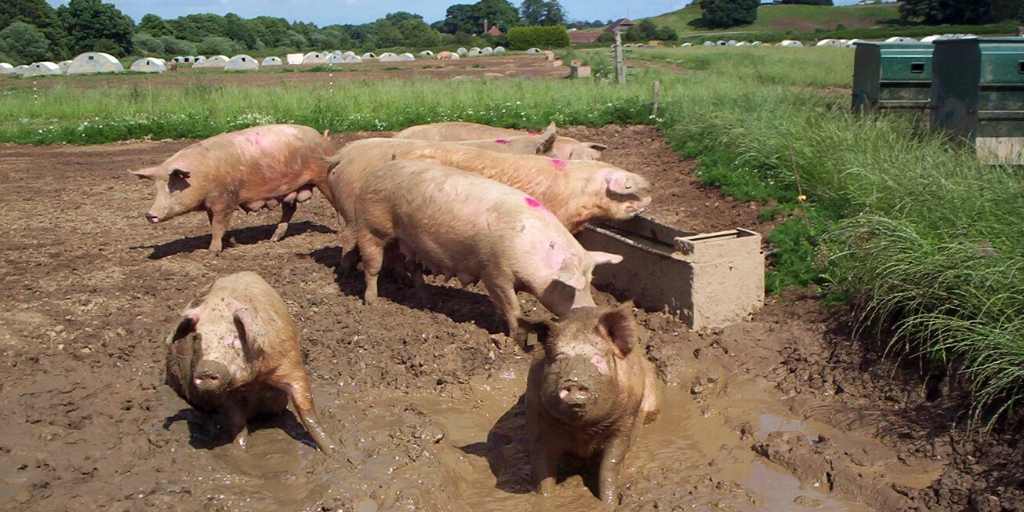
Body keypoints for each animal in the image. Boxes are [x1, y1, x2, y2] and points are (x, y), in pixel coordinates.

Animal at [130, 124, 335, 253]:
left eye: (172, 187)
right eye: (157, 187)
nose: (149, 215)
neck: (202, 175)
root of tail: (322, 137)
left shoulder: (225, 200)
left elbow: (218, 225)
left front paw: (212, 251)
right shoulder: (211, 205)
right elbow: (214, 224)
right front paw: (228, 243)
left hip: (323, 178)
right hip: (289, 189)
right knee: (290, 209)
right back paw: (273, 239)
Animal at [164, 271, 336, 453]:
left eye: (234, 337)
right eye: (198, 339)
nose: (207, 370)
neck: (256, 380)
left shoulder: (290, 361)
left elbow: (306, 407)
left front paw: (332, 451)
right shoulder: (227, 392)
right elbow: (236, 419)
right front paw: (240, 450)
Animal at [353, 160, 623, 338]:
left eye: (591, 281)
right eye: (570, 287)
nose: (592, 311)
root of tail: (377, 171)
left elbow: (502, 305)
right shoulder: (494, 271)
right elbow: (512, 306)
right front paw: (514, 338)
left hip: (408, 240)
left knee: (411, 266)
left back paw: (425, 297)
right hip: (371, 226)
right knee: (372, 265)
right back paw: (371, 303)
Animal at [523, 304, 661, 505]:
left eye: (597, 359)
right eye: (558, 359)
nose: (573, 381)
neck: (582, 431)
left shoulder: (626, 420)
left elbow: (611, 463)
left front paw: (609, 503)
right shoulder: (536, 414)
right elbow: (541, 463)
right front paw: (546, 499)